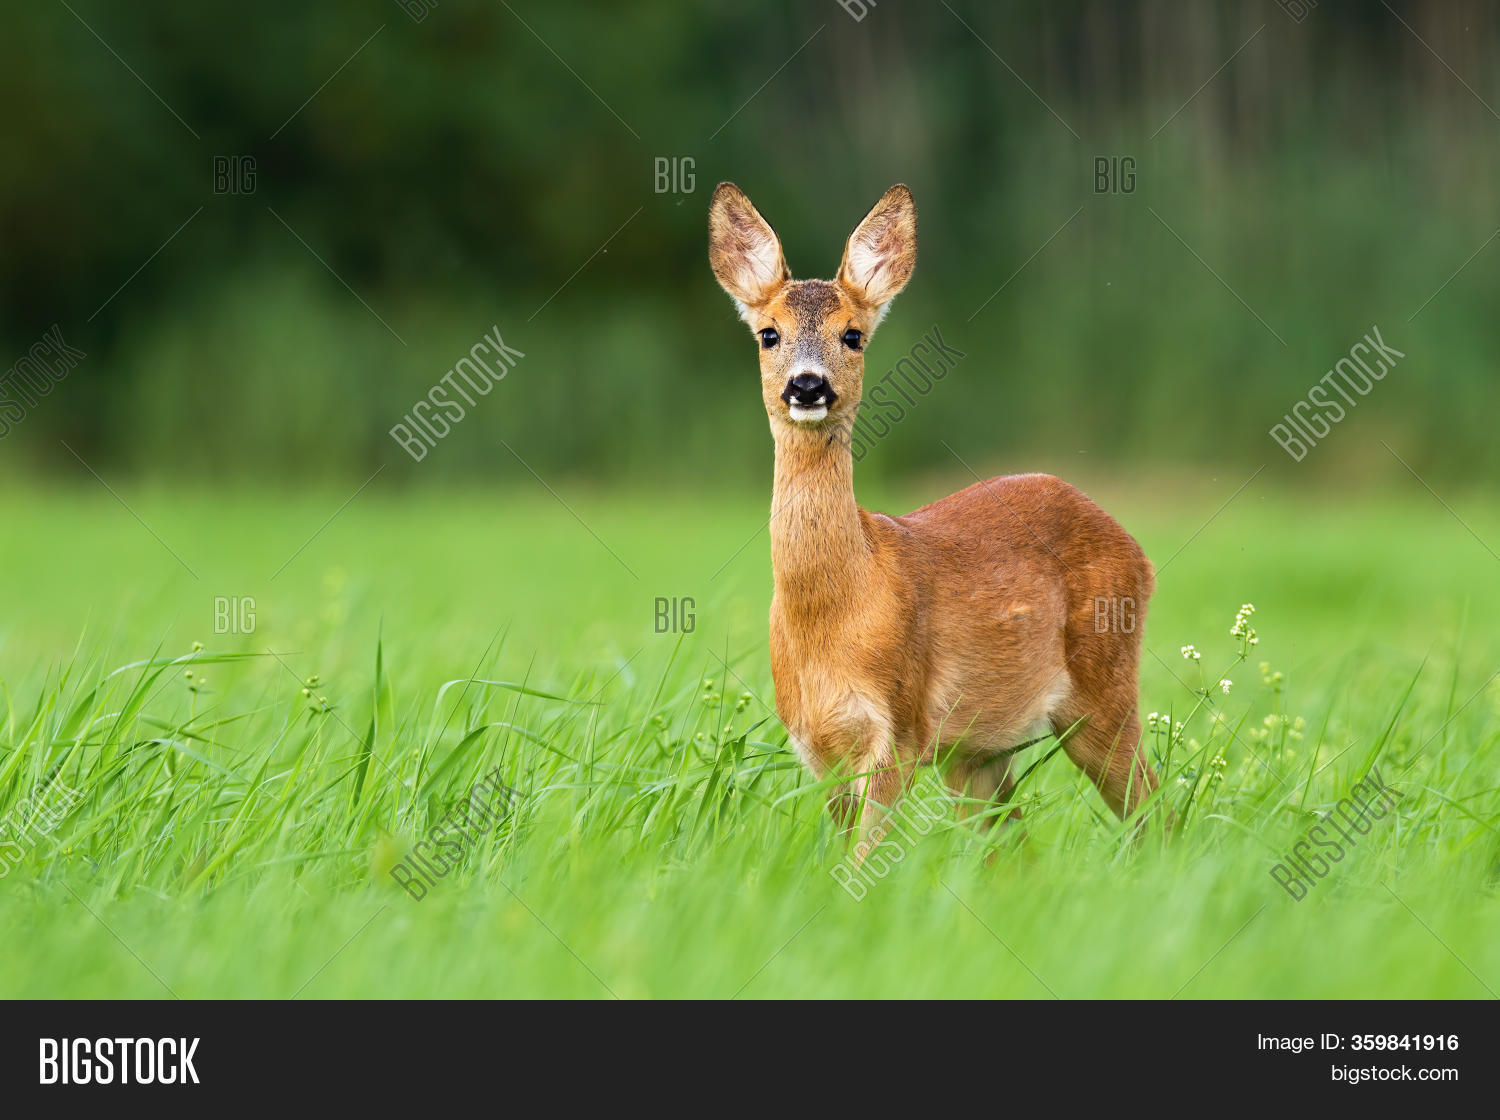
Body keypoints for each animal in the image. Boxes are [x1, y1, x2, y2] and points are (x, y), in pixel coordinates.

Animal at [707, 182, 1160, 856]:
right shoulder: (815, 746)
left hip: (1102, 690)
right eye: (768, 333)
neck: (836, 611)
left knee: (1154, 808)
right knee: (1014, 844)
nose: (808, 386)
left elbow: (862, 860)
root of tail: (1137, 550)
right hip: (979, 752)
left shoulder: (898, 727)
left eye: (853, 335)